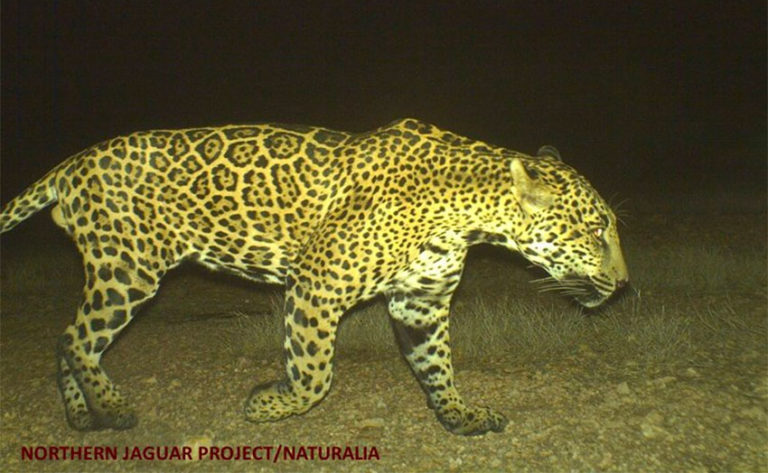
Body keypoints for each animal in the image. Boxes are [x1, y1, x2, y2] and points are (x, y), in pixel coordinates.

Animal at [0, 118, 628, 436]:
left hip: (114, 271)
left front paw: (458, 414)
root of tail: (72, 163)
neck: (466, 212)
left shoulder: (420, 300)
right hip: (128, 269)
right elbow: (314, 376)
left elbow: (437, 364)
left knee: (66, 339)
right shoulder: (316, 287)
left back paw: (81, 417)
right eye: (596, 229)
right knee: (77, 339)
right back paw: (111, 409)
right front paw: (264, 405)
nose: (624, 285)